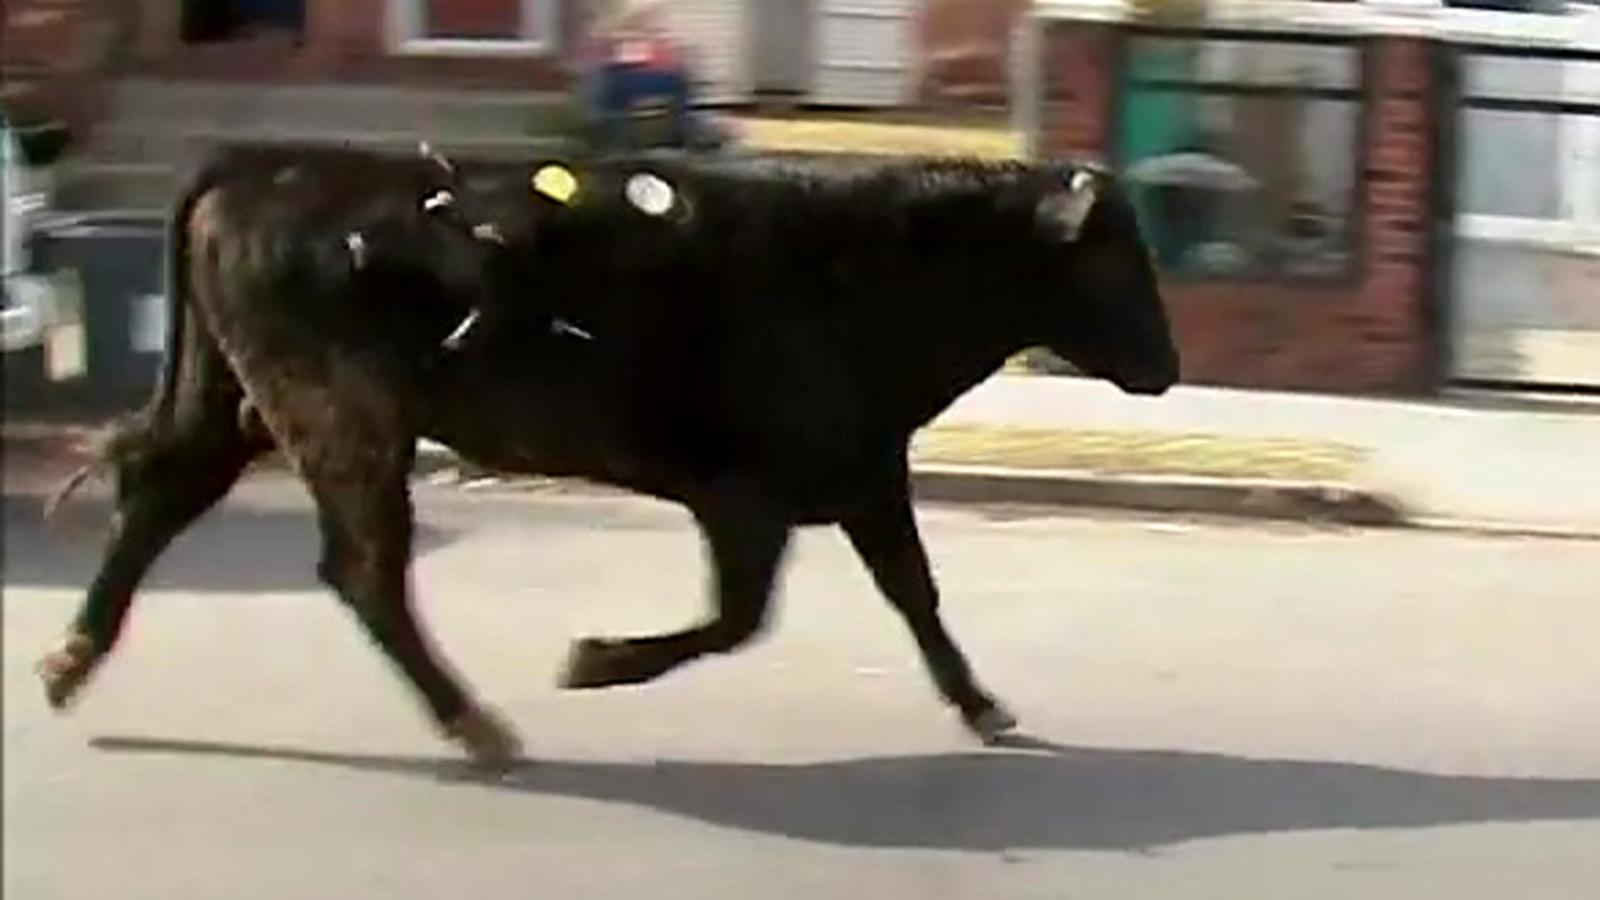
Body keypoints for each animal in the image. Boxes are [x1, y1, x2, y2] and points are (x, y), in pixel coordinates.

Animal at [37, 143, 1179, 770]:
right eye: (1115, 257)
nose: (1169, 366)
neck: (868, 267)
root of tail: (267, 162)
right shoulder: (746, 496)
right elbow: (737, 618)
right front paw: (595, 661)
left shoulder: (861, 473)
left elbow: (914, 591)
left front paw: (984, 705)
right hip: (343, 418)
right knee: (363, 567)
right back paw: (480, 727)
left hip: (234, 403)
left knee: (160, 495)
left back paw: (67, 662)